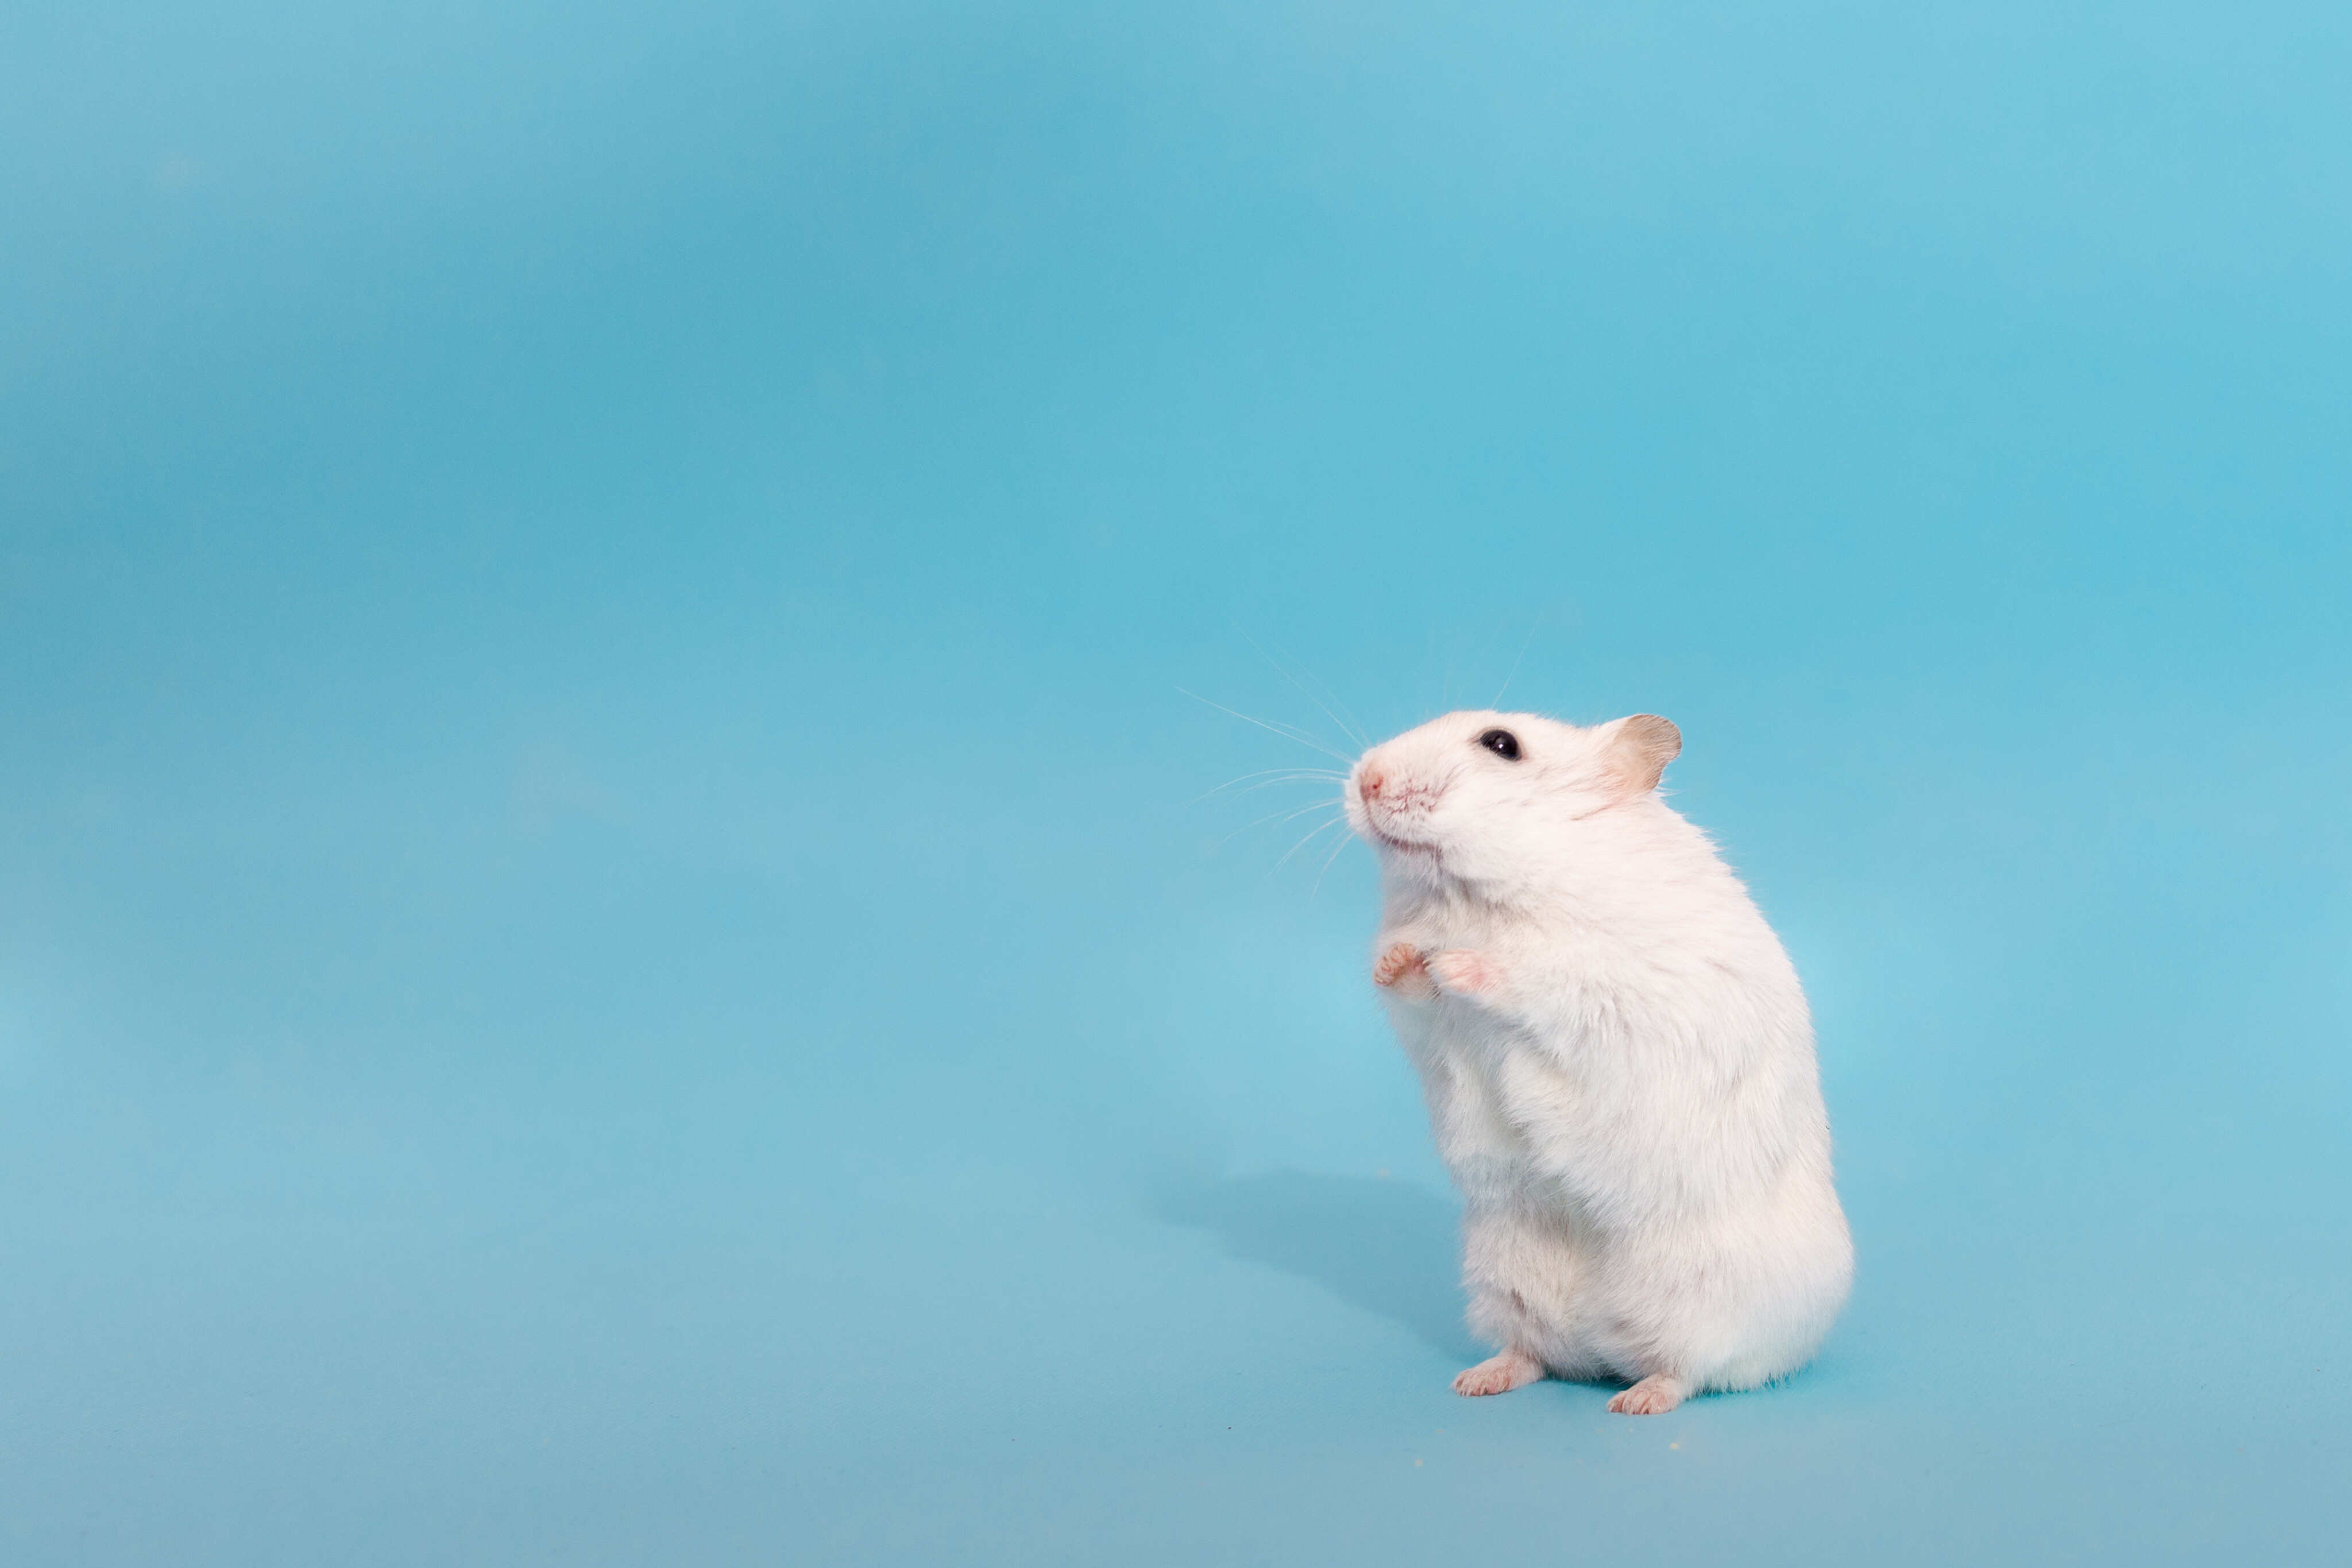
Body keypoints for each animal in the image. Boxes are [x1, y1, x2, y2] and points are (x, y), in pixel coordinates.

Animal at [1344, 709, 1851, 1415]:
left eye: (1501, 745)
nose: (1366, 781)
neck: (1473, 897)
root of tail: (1601, 1342)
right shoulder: (1430, 1021)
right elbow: (1410, 986)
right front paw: (1401, 960)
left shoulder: (1610, 981)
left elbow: (1532, 977)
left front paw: (1457, 962)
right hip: (1504, 1272)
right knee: (1540, 1354)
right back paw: (1478, 1380)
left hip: (1700, 1294)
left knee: (1690, 1368)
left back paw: (1635, 1402)